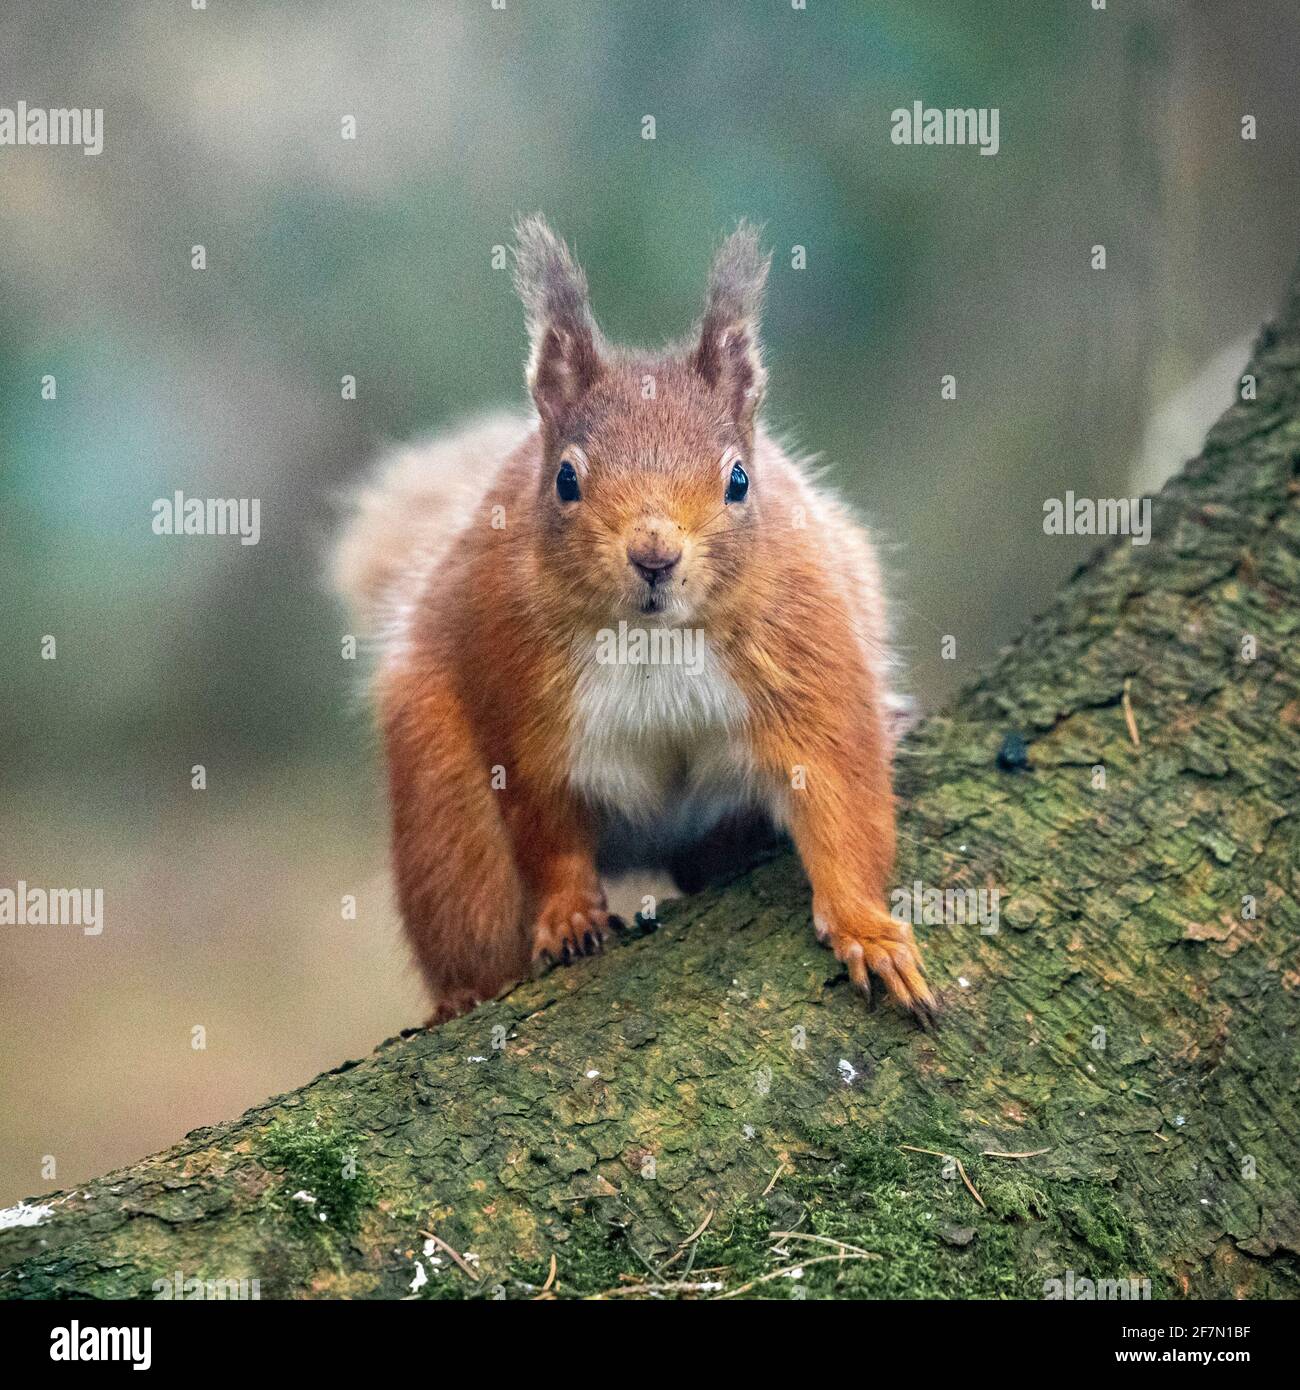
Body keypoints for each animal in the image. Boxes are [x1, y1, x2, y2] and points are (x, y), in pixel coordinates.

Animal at [334, 217, 935, 1026]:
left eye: (739, 479)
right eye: (566, 479)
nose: (654, 555)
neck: (651, 639)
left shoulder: (808, 647)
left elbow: (844, 793)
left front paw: (867, 930)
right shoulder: (517, 687)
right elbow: (543, 822)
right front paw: (568, 914)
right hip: (442, 810)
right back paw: (463, 996)